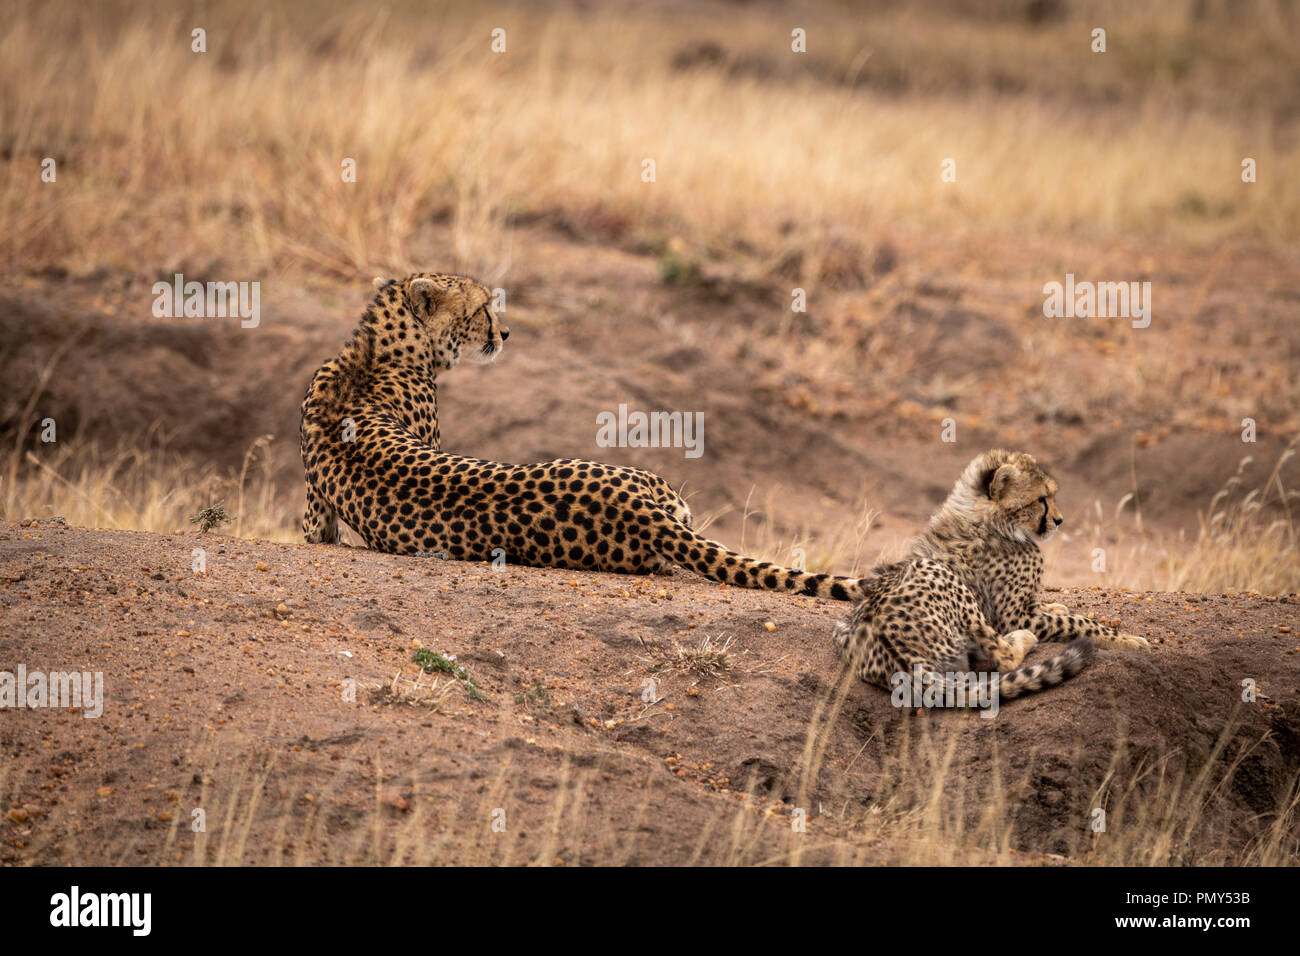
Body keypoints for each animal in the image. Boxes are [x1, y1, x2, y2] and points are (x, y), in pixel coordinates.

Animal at [299, 272, 864, 600]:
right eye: (483, 309)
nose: (506, 333)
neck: (374, 351)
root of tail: (643, 513)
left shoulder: (314, 506)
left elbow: (314, 535)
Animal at [832, 448, 1150, 702]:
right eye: (1041, 499)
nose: (1059, 521)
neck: (987, 520)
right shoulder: (1015, 616)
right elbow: (1079, 622)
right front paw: (1127, 640)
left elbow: (1054, 610)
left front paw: (1057, 605)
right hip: (943, 579)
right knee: (1003, 658)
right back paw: (1023, 639)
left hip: (842, 627)